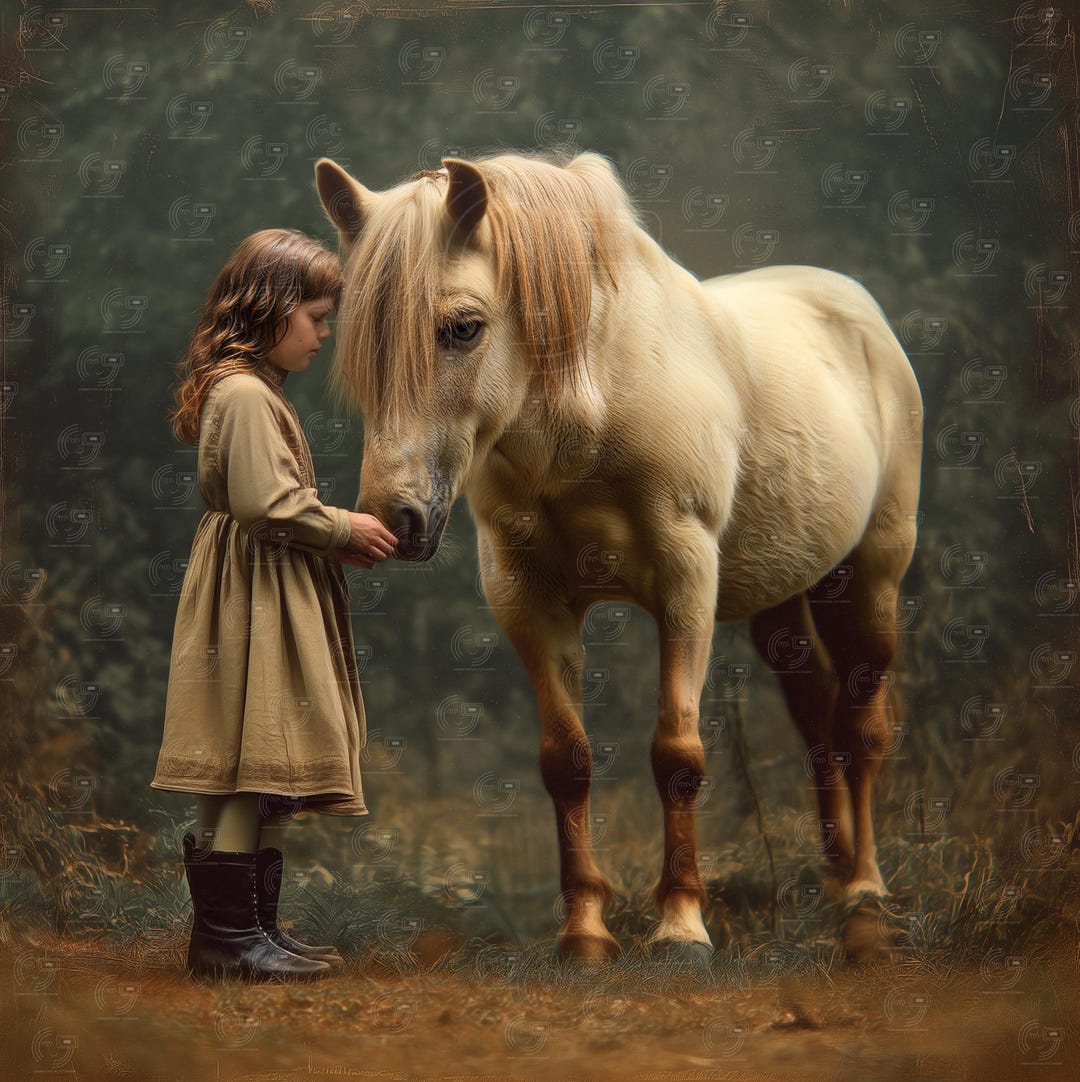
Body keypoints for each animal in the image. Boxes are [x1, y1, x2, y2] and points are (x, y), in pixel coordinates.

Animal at [315, 150, 923, 964]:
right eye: (360, 339)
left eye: (463, 328)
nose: (393, 519)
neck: (594, 412)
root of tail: (859, 312)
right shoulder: (527, 598)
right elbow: (566, 761)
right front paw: (585, 933)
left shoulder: (686, 585)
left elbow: (678, 754)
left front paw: (681, 928)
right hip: (783, 597)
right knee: (818, 721)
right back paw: (833, 880)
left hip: (871, 576)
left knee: (859, 728)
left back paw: (863, 895)